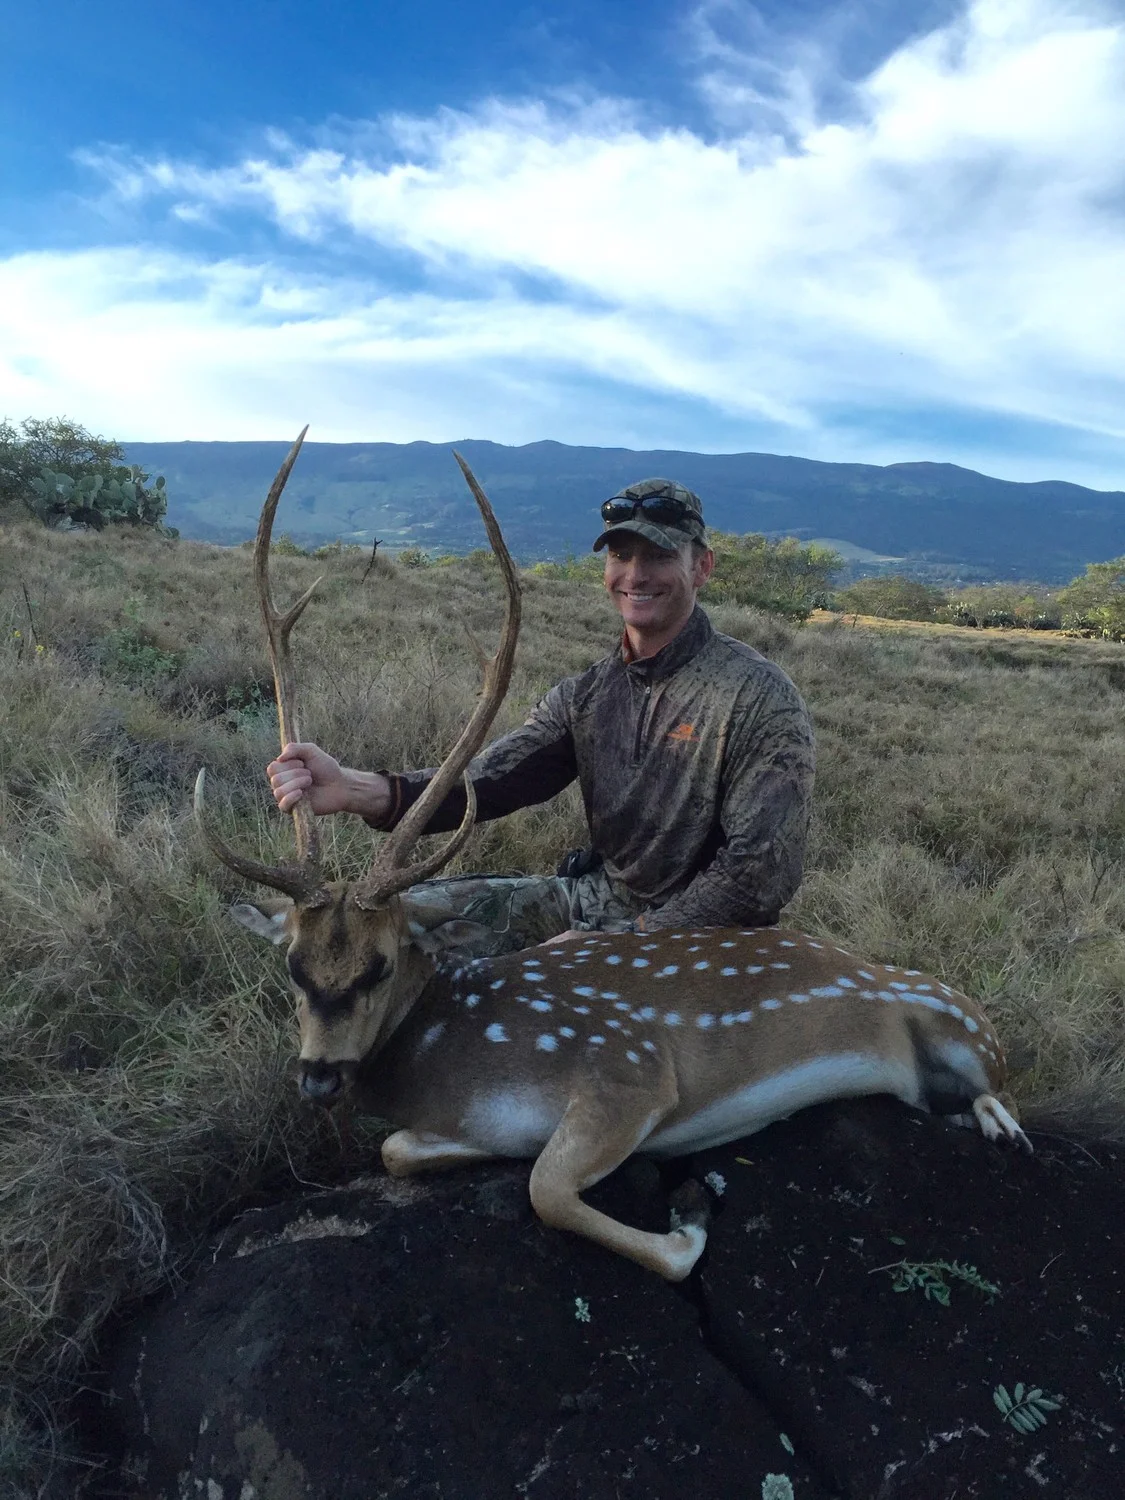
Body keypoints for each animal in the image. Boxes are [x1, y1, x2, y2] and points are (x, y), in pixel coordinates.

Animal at [195, 430, 1032, 1283]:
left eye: (382, 965)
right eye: (293, 966)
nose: (317, 1077)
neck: (450, 1064)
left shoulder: (627, 1067)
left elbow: (550, 1193)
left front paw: (690, 1211)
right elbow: (400, 1150)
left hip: (962, 1026)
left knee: (1001, 1085)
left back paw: (1003, 1128)